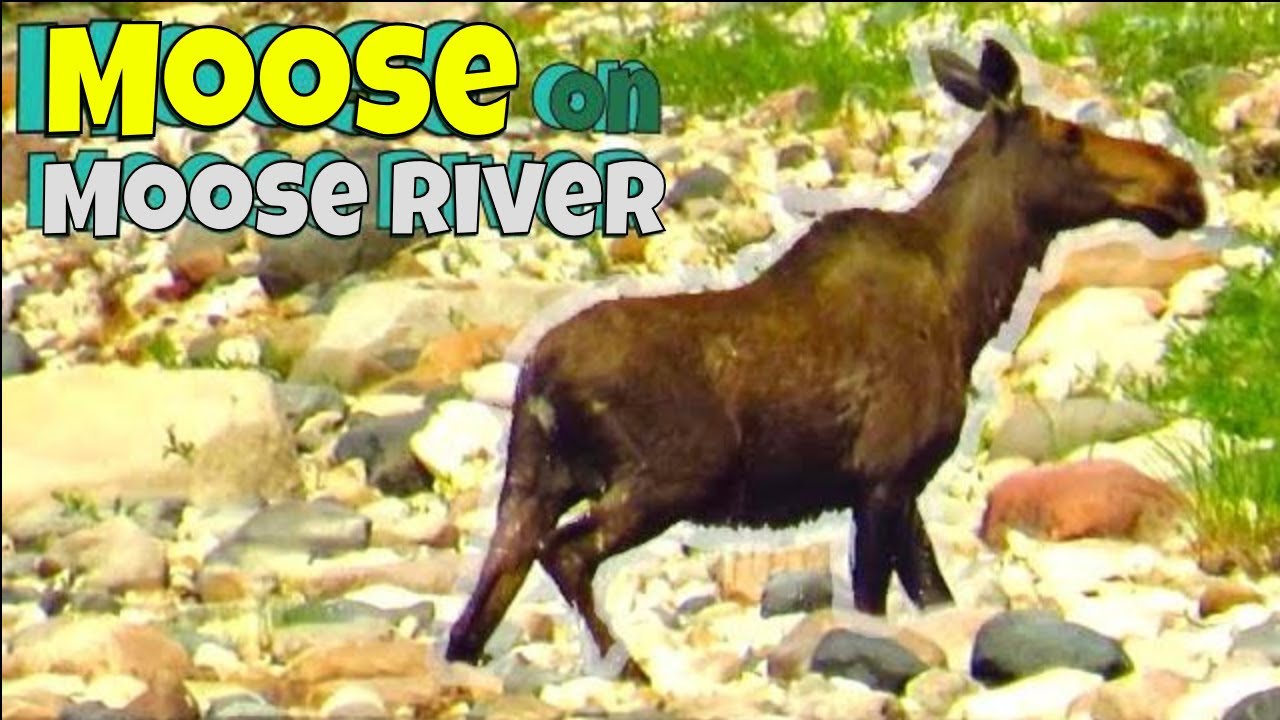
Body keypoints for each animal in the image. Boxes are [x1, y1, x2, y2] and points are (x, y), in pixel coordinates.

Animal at [444, 39, 1208, 682]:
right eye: (1071, 137)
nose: (1184, 185)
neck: (969, 302)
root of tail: (538, 378)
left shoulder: (897, 484)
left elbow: (933, 597)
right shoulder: (883, 477)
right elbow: (874, 604)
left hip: (531, 482)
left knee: (475, 612)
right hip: (672, 473)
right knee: (567, 553)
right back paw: (629, 669)